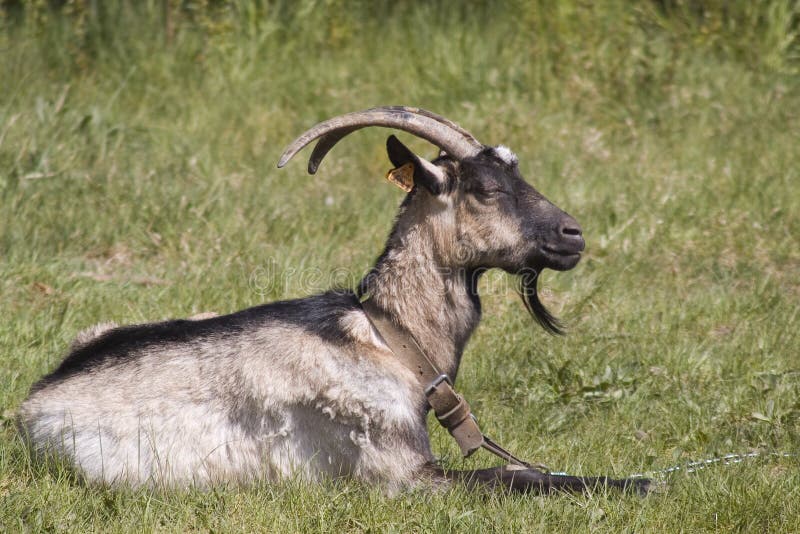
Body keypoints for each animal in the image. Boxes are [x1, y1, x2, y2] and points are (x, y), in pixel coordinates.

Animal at [18, 107, 649, 494]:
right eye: (487, 189)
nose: (573, 235)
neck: (392, 338)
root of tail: (32, 404)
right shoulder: (401, 473)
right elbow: (516, 477)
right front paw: (643, 483)